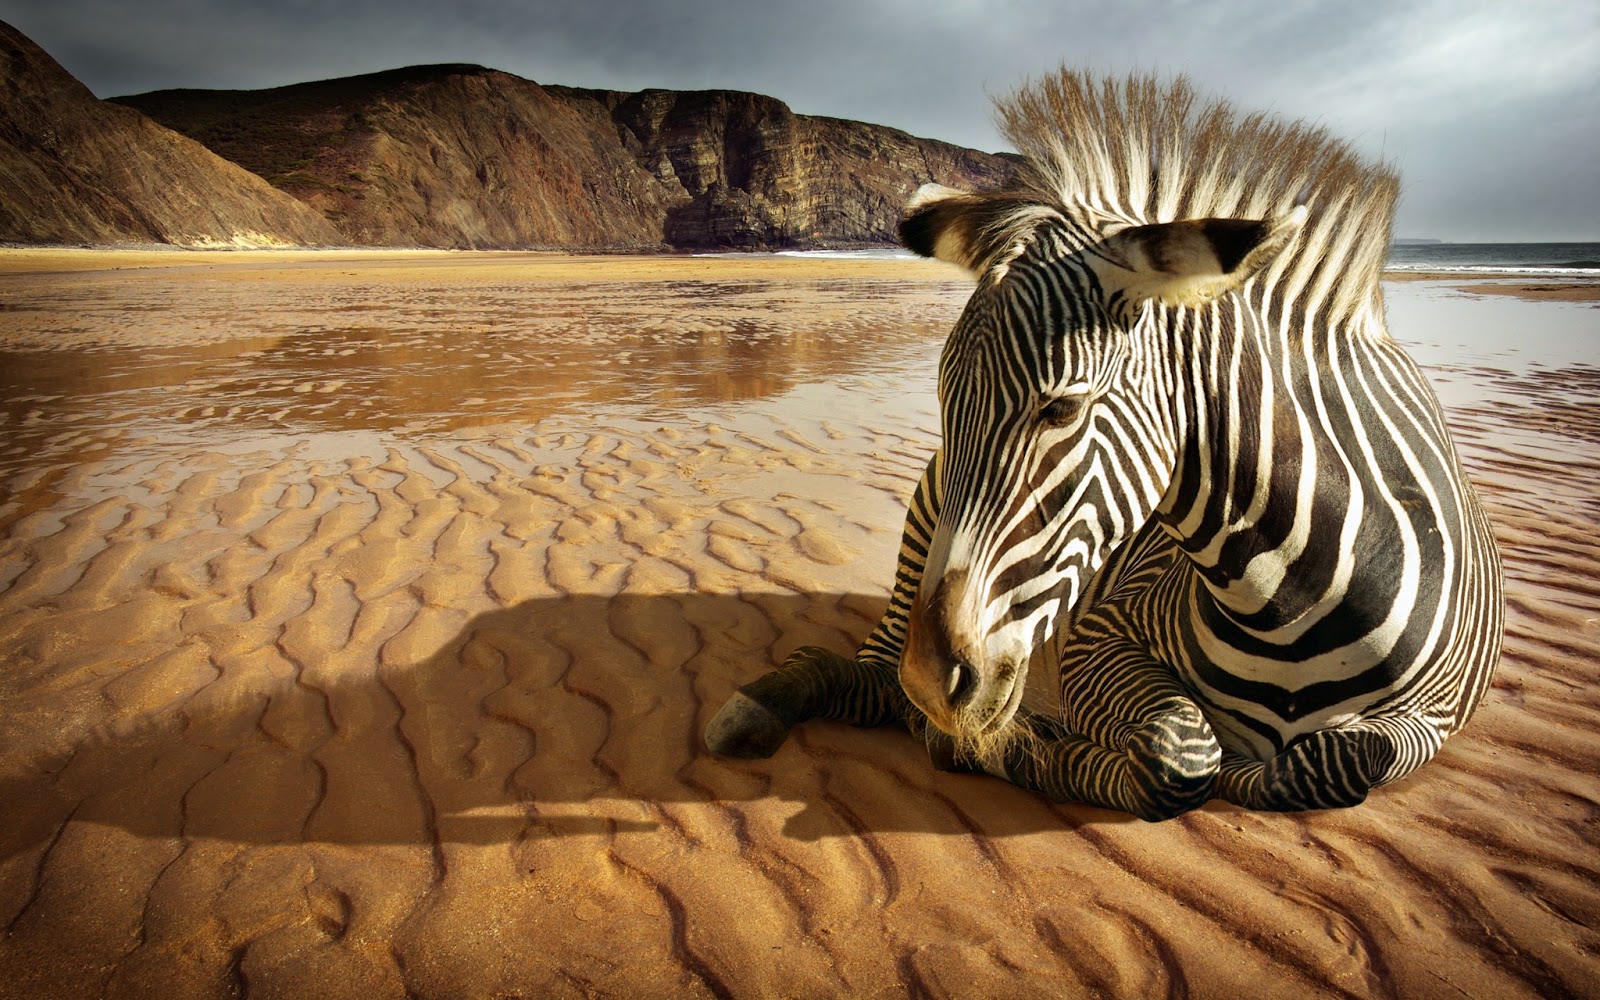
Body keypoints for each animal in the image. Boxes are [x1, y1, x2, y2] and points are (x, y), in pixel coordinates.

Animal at [704, 71, 1504, 820]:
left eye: (1061, 408)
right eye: (943, 403)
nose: (933, 684)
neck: (1293, 600)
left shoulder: (1434, 718)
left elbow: (1333, 761)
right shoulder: (1101, 636)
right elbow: (1181, 755)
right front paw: (1015, 746)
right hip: (925, 525)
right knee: (872, 677)